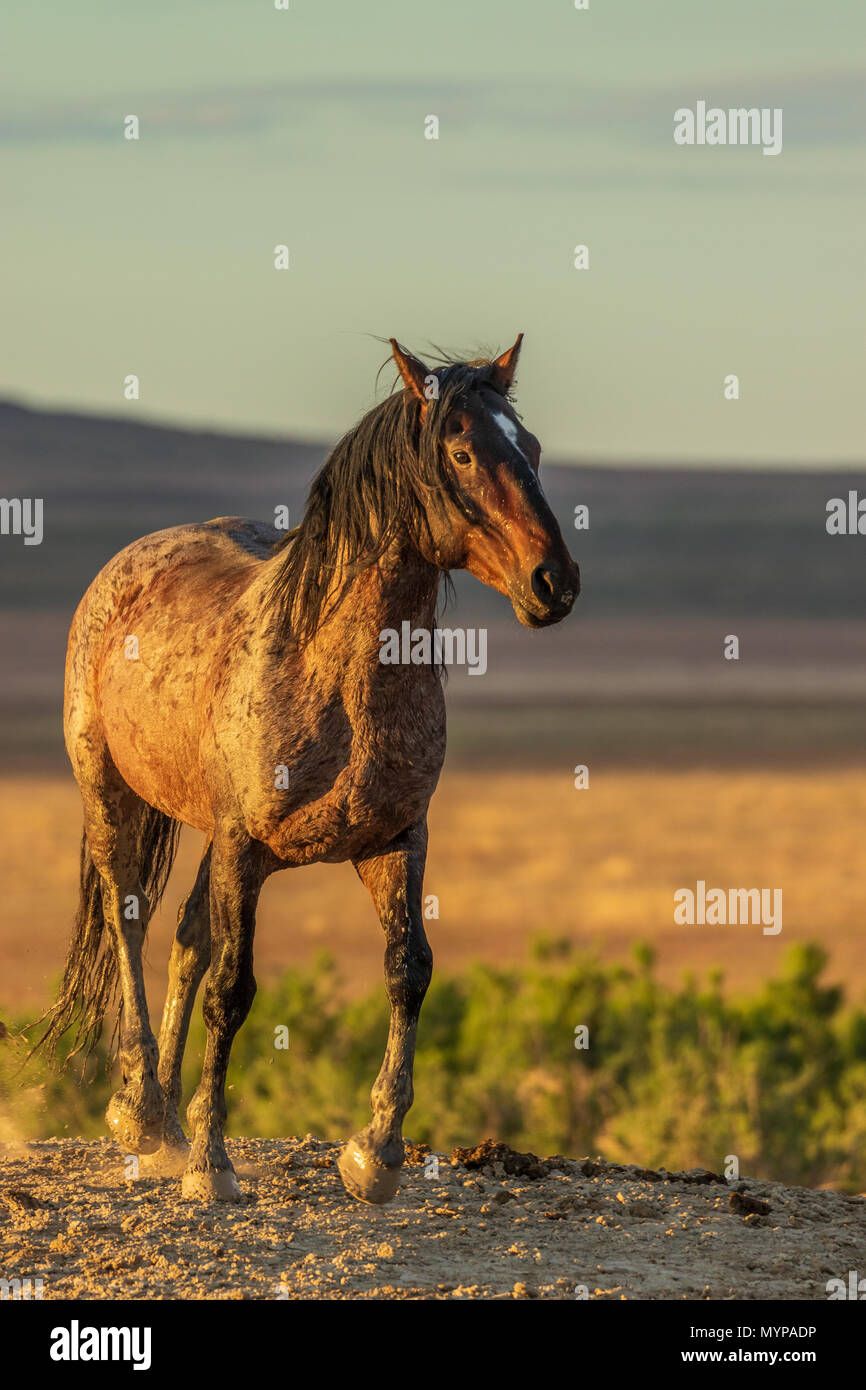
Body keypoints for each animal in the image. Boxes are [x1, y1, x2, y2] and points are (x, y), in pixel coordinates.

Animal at [36, 335, 580, 1203]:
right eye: (463, 451)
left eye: (528, 448)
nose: (555, 583)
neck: (340, 678)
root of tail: (130, 561)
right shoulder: (246, 848)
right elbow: (233, 990)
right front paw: (213, 1167)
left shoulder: (395, 841)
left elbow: (408, 970)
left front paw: (375, 1156)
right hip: (113, 796)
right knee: (130, 920)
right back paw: (142, 1111)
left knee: (186, 937)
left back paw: (164, 1124)